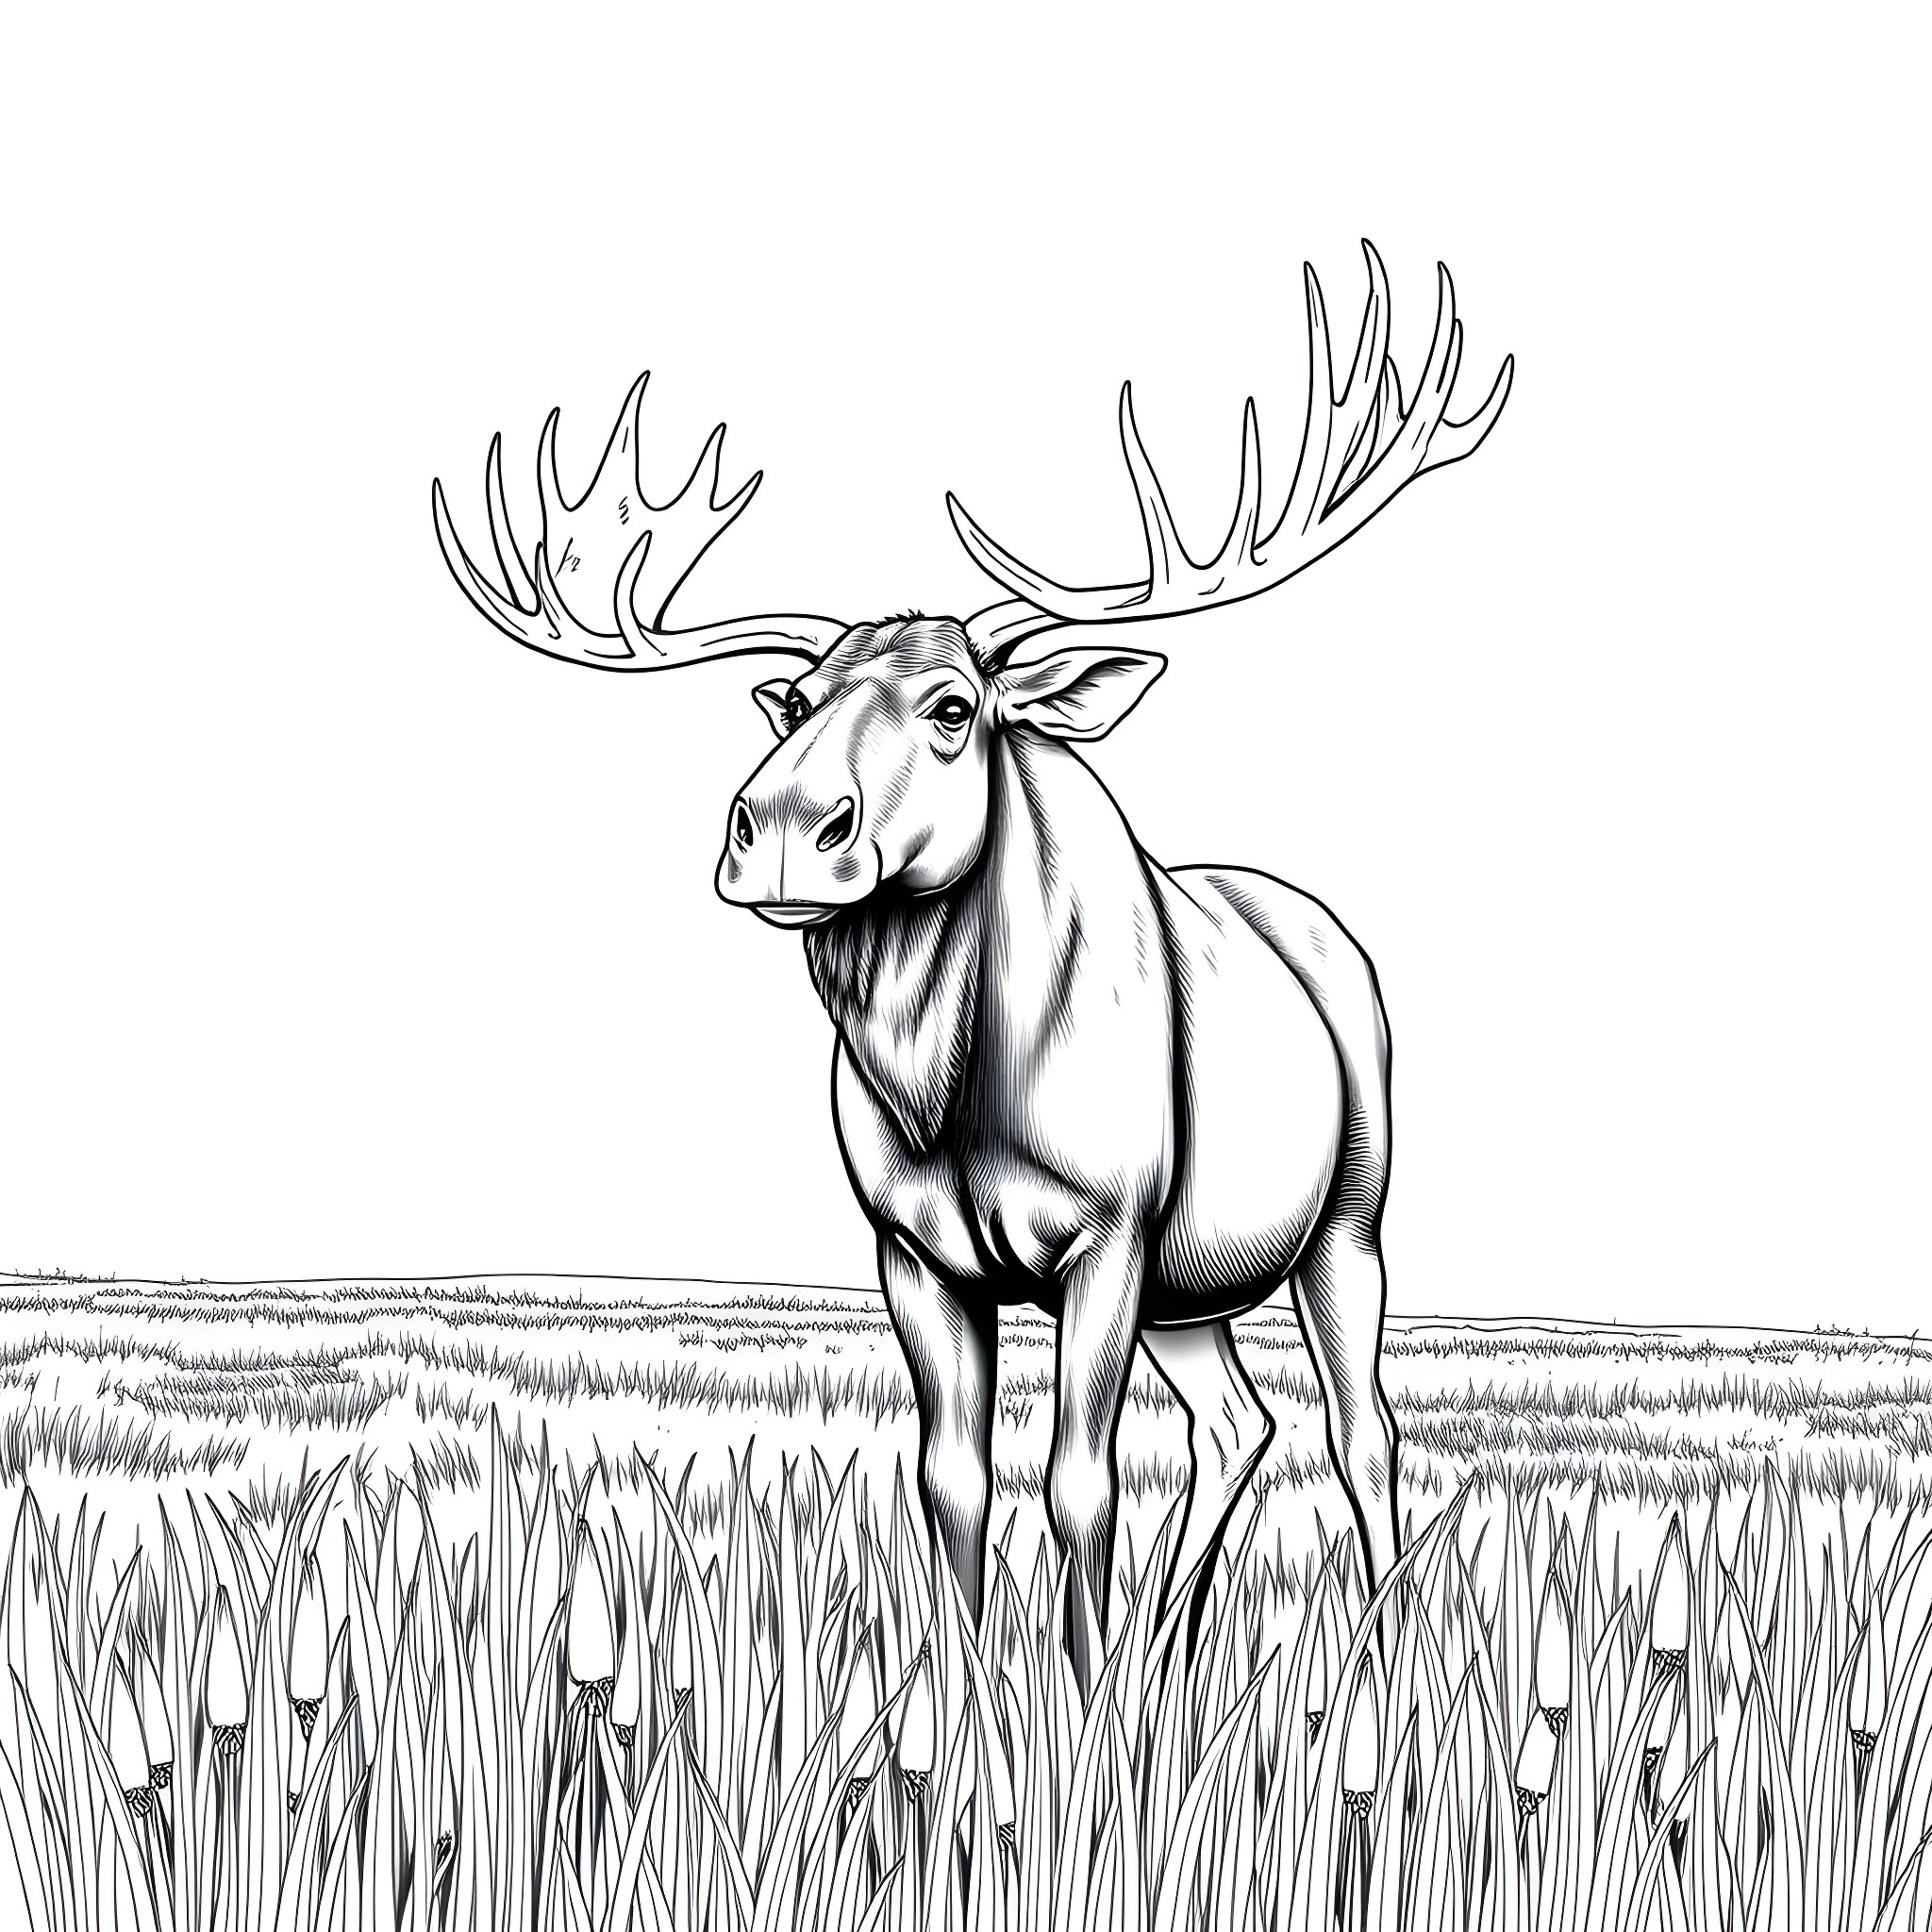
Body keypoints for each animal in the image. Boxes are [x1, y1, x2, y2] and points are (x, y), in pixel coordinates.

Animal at [432, 242, 1512, 1685]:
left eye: (955, 708)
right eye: (797, 700)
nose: (782, 823)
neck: (948, 1088)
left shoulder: (1109, 1233)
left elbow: (1080, 1481)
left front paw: (1083, 1689)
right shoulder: (914, 1249)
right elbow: (948, 1475)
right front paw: (960, 1688)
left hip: (1348, 1219)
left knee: (1360, 1429)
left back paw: (1364, 1656)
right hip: (1194, 1289)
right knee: (1238, 1422)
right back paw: (1177, 1640)